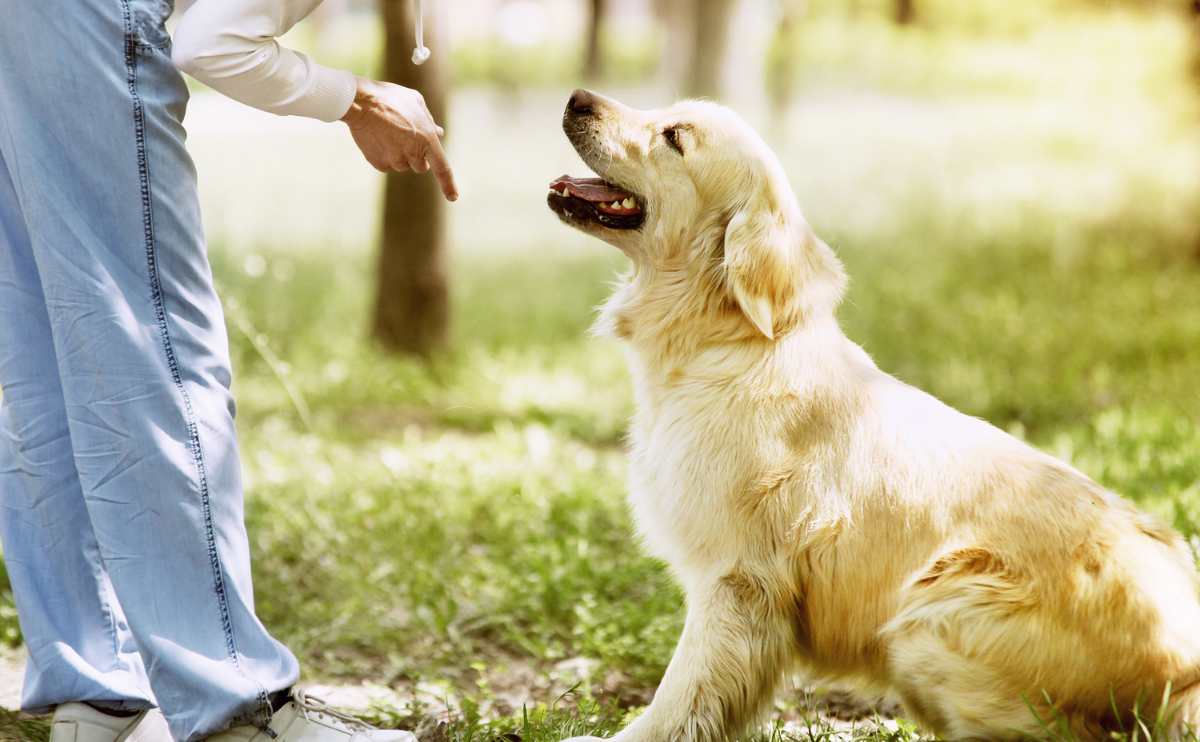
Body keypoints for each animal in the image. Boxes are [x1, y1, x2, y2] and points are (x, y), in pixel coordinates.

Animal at [549, 89, 1200, 734]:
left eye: (675, 137)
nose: (578, 98)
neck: (726, 341)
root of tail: (1184, 672)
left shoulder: (736, 580)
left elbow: (681, 697)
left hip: (930, 616)